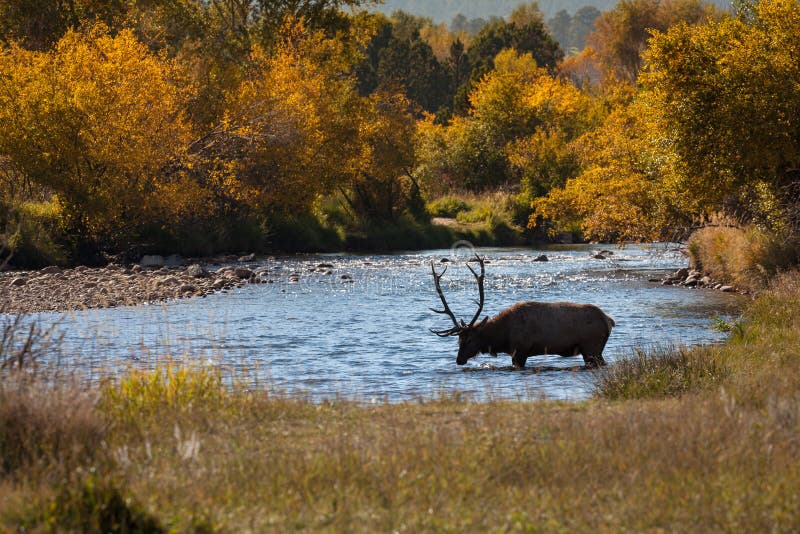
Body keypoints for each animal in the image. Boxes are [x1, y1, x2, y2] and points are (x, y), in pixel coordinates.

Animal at [430, 255, 615, 368]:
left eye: (469, 339)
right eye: (458, 340)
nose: (459, 359)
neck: (503, 337)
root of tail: (608, 320)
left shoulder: (520, 351)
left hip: (591, 348)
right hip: (594, 350)